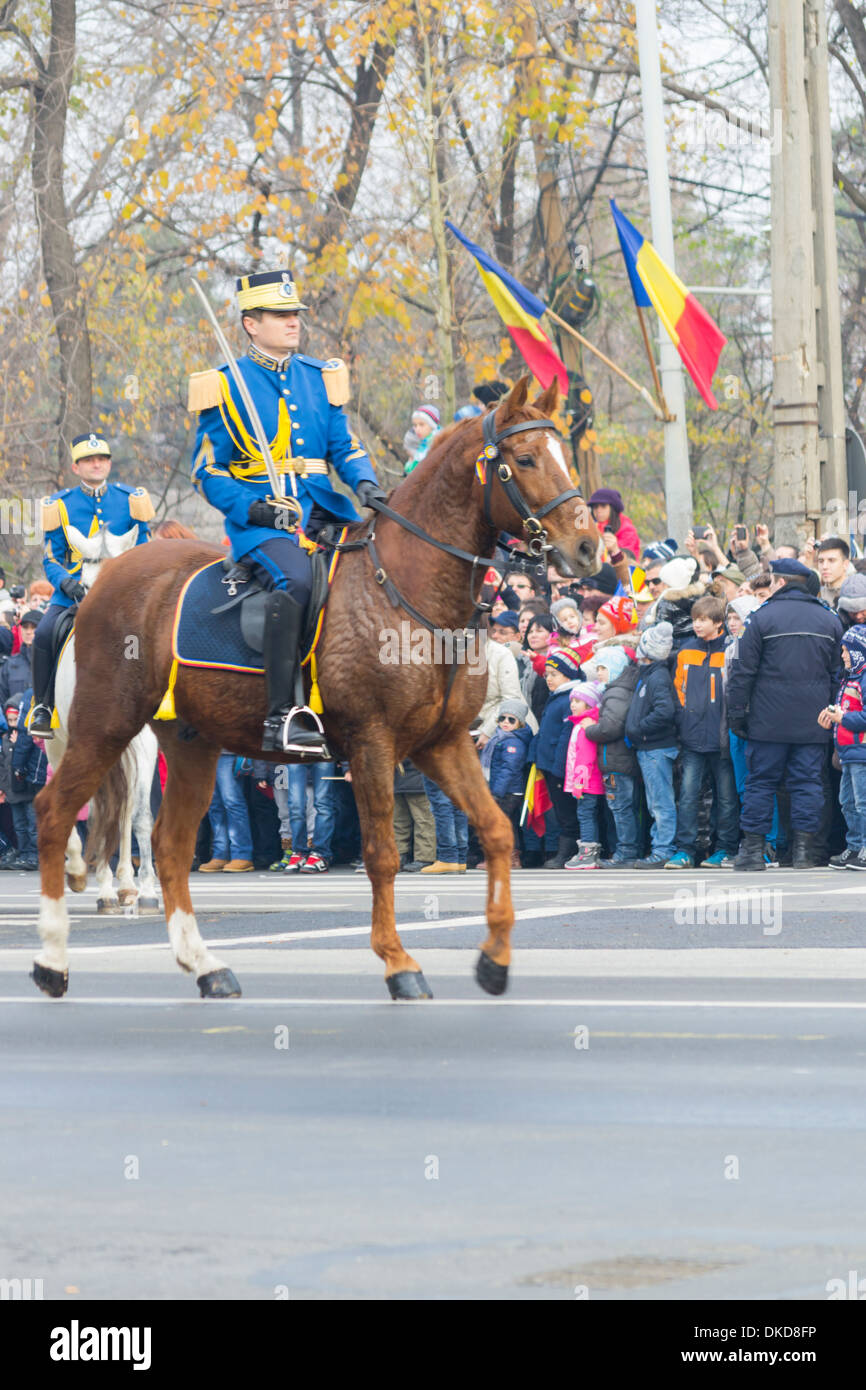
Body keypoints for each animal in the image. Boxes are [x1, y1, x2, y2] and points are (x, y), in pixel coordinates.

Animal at [47, 523, 160, 915]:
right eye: (83, 586)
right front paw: (100, 885)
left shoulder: (147, 746)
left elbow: (138, 815)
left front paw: (145, 890)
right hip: (58, 746)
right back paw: (82, 872)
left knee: (123, 812)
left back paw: (127, 884)